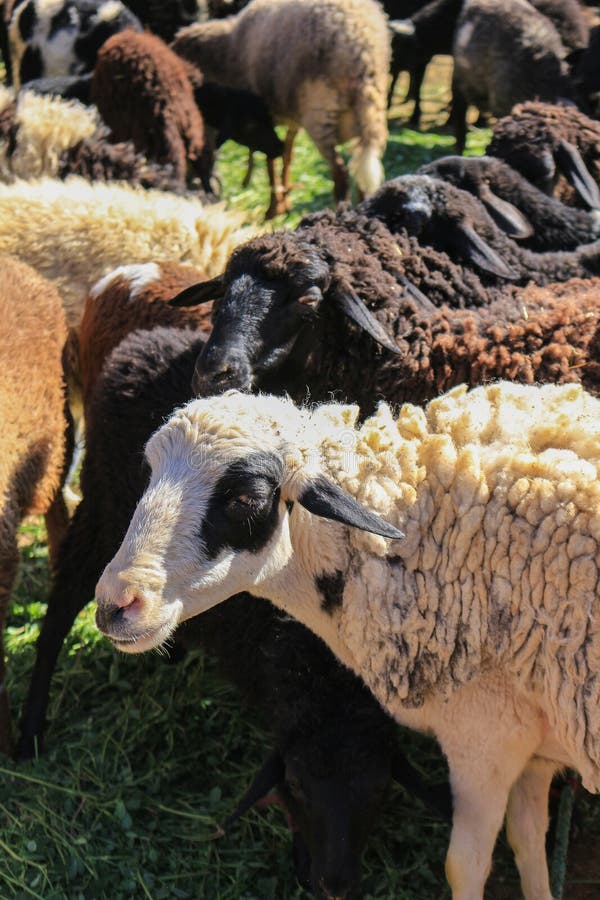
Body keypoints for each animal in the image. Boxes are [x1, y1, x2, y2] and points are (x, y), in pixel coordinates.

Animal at [19, 322, 450, 897]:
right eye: (297, 787)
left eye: (380, 794)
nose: (333, 884)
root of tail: (147, 338)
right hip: (101, 508)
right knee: (62, 602)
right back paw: (29, 731)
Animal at [96, 380, 600, 899]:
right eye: (149, 471)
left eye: (245, 500)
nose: (115, 606)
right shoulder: (534, 741)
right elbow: (527, 839)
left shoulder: (486, 734)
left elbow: (465, 865)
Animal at [172, 0, 391, 217]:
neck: (228, 55)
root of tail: (362, 49)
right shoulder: (291, 118)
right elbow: (287, 155)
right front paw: (284, 202)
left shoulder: (265, 119)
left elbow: (271, 159)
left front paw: (273, 208)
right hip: (367, 114)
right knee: (360, 174)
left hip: (320, 114)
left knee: (341, 175)